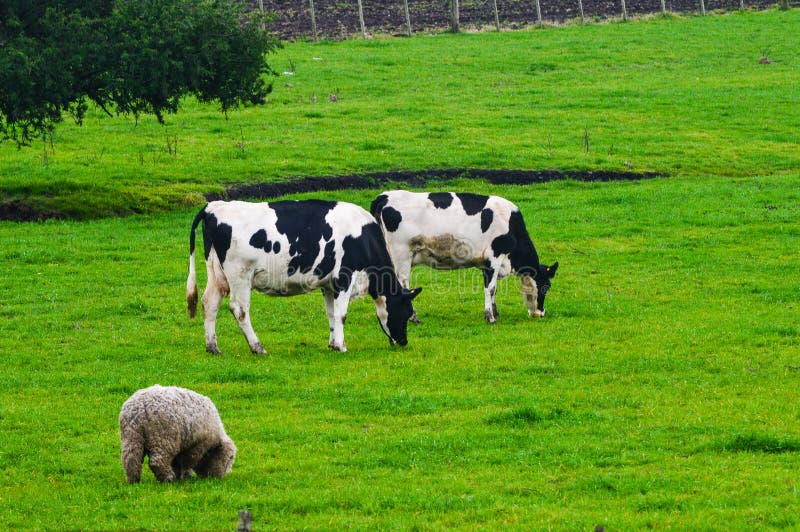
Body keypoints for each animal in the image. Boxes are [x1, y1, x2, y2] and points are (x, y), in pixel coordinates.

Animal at [186, 199, 421, 354]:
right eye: (406, 311)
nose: (403, 341)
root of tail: (213, 206)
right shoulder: (344, 277)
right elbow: (341, 314)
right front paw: (342, 346)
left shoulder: (328, 284)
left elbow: (331, 314)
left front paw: (333, 343)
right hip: (240, 275)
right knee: (239, 309)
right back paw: (257, 347)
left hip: (217, 273)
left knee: (209, 303)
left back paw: (212, 347)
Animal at [370, 190, 557, 324]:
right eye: (546, 286)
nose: (541, 313)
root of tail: (384, 196)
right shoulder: (494, 256)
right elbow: (490, 288)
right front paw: (490, 317)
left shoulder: (487, 263)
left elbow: (494, 288)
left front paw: (495, 312)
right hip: (401, 253)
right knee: (403, 285)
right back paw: (413, 317)